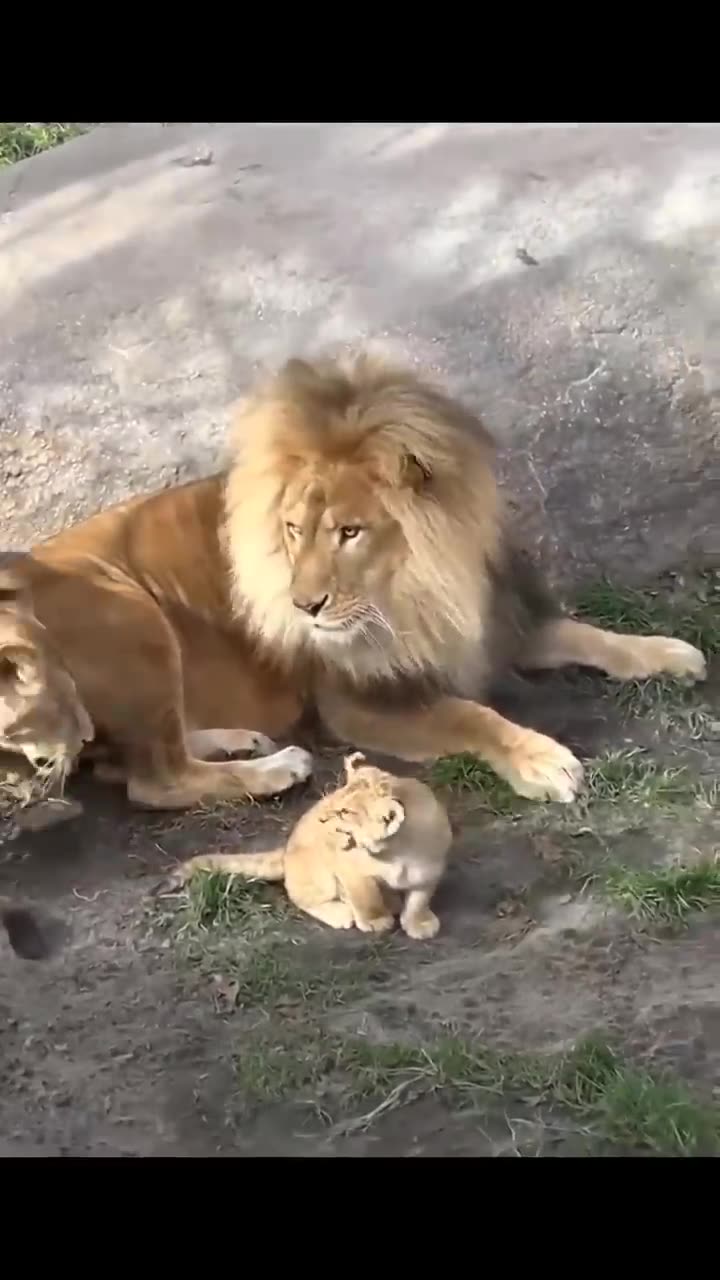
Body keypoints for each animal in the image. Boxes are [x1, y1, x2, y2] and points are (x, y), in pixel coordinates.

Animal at [2, 352, 706, 811]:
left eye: (349, 532)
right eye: (293, 529)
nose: (303, 606)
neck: (419, 589)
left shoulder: (495, 622)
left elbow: (590, 635)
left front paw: (668, 653)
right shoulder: (355, 700)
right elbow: (471, 715)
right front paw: (539, 757)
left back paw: (237, 742)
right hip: (130, 612)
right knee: (153, 778)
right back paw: (276, 768)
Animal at [163, 752, 453, 939]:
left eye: (345, 812)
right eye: (334, 803)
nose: (322, 819)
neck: (397, 852)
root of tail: (285, 852)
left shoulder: (429, 872)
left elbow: (418, 900)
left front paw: (419, 923)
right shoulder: (350, 870)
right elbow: (366, 896)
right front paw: (375, 921)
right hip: (317, 874)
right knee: (301, 896)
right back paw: (342, 912)